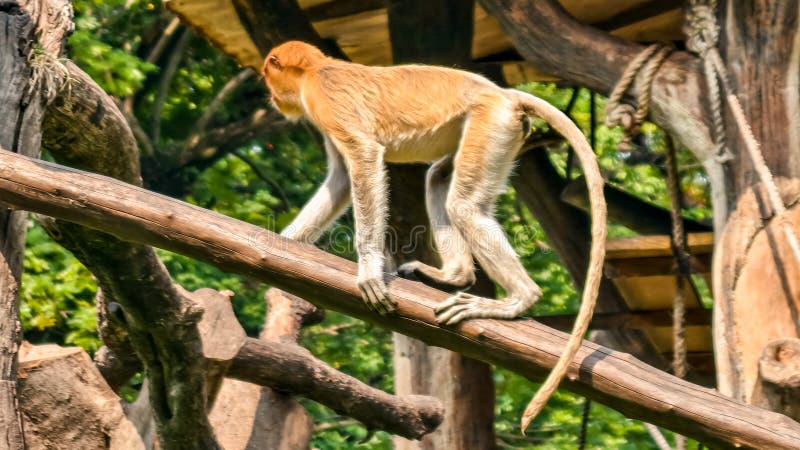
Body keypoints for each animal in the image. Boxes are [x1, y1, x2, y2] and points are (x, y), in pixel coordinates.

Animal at [262, 41, 606, 429]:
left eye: (267, 73)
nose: (271, 97)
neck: (315, 71)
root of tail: (503, 94)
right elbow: (339, 183)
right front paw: (287, 239)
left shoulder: (327, 99)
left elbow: (364, 157)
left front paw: (368, 272)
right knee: (438, 180)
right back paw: (454, 276)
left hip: (490, 125)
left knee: (464, 206)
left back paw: (519, 298)